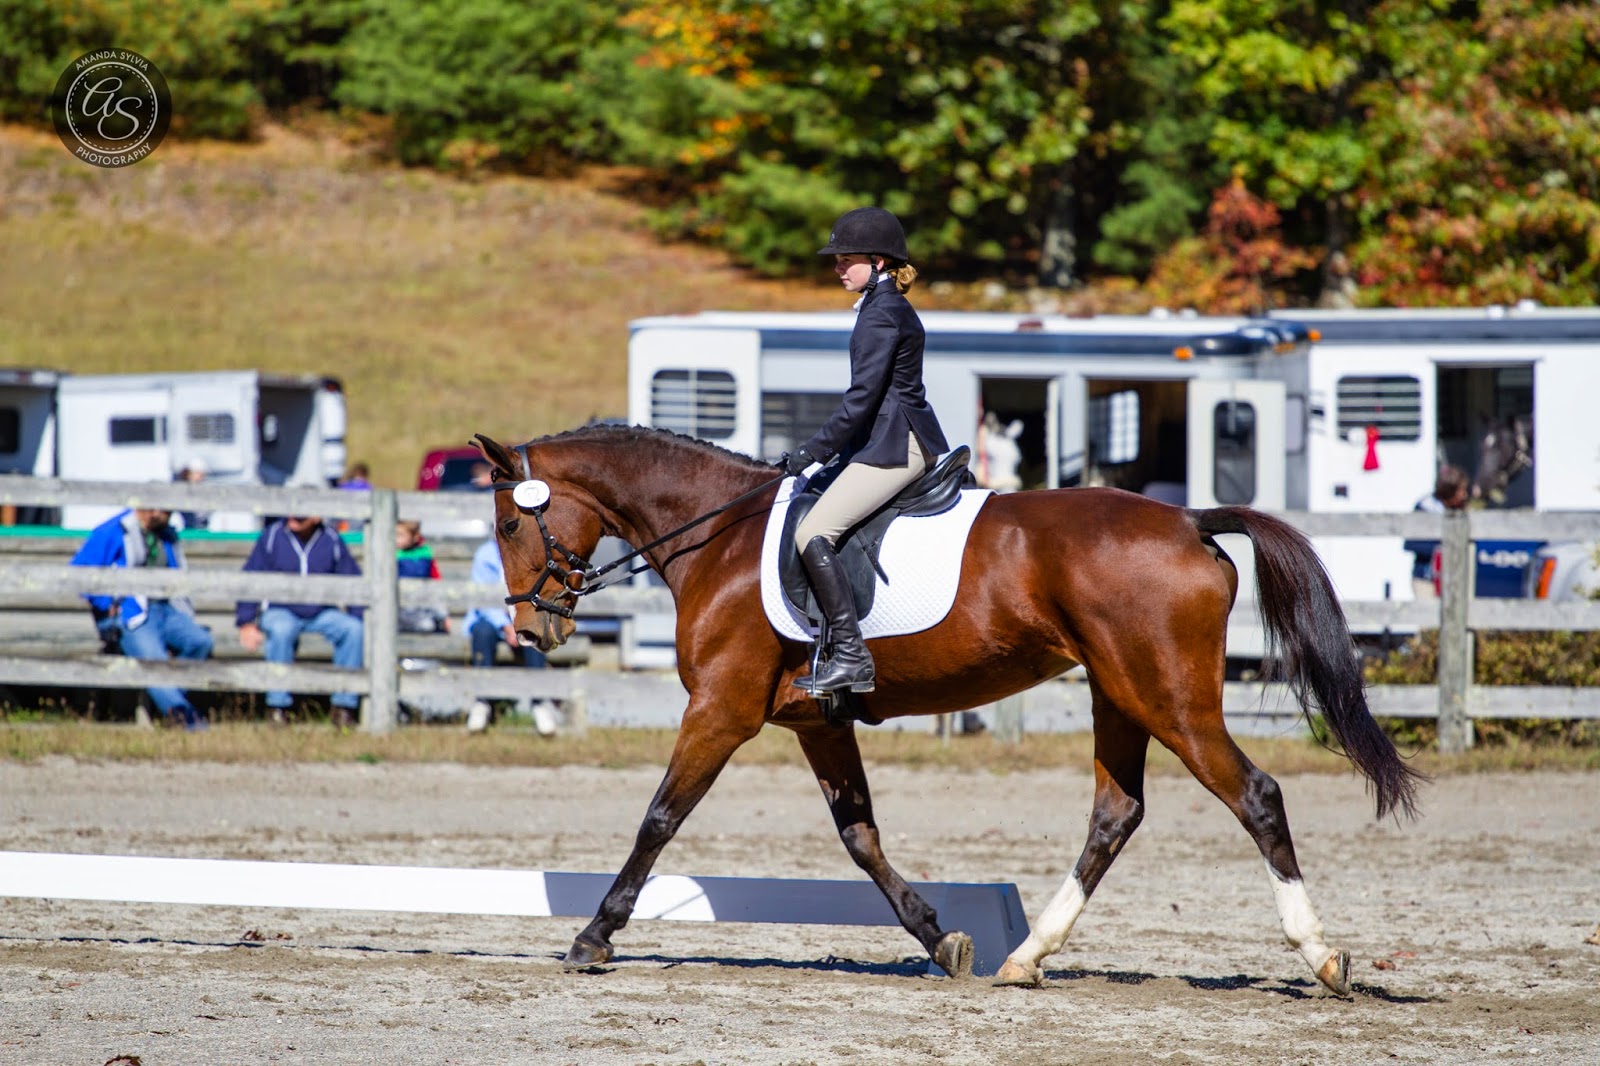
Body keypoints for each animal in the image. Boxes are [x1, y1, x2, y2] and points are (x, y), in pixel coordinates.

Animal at [473, 425, 1423, 993]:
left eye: (509, 527)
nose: (532, 629)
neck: (717, 535)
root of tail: (1188, 521)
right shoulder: (816, 722)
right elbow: (860, 837)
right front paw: (941, 940)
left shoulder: (720, 710)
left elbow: (658, 819)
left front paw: (593, 936)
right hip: (1120, 694)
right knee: (1115, 814)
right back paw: (1026, 959)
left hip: (1169, 700)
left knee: (1255, 795)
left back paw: (1322, 956)